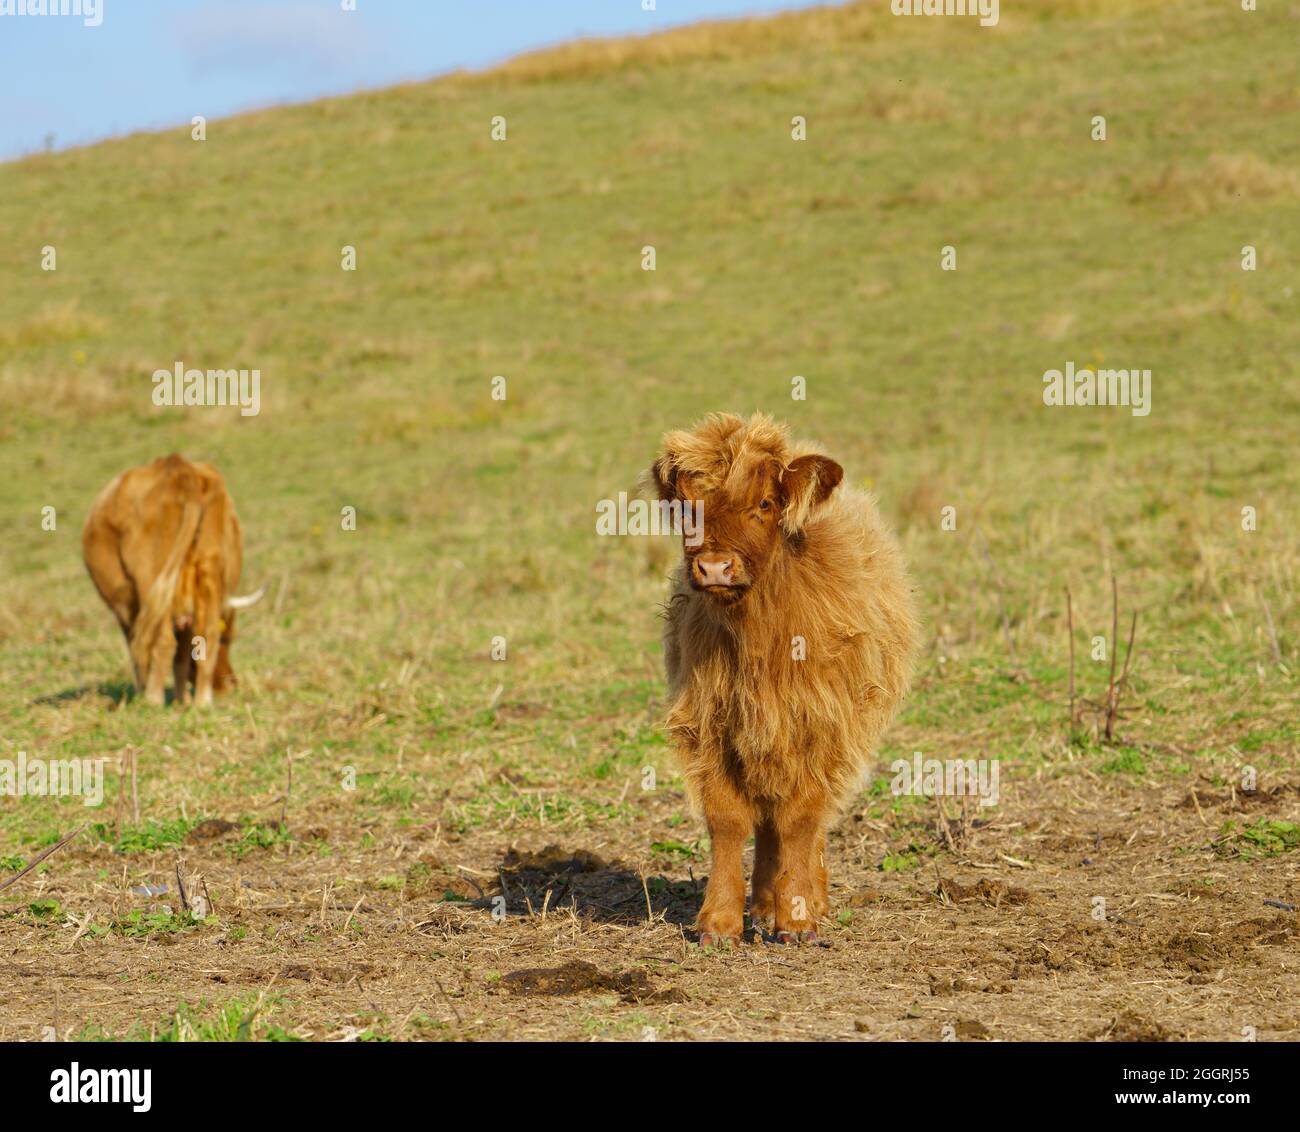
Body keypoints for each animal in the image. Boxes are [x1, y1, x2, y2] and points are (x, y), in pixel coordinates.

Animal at [82, 455, 264, 706]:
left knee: (160, 641)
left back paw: (152, 700)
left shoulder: (126, 609)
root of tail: (178, 465)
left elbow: (139, 648)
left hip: (150, 582)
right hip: (208, 572)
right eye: (228, 640)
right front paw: (182, 700)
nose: (228, 686)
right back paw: (202, 702)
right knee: (205, 634)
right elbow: (184, 655)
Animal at [646, 413, 920, 946]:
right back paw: (764, 904)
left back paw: (808, 900)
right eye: (689, 509)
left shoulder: (820, 724)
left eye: (764, 504)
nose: (714, 566)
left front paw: (798, 919)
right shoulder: (710, 727)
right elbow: (729, 821)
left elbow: (801, 820)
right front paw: (721, 923)